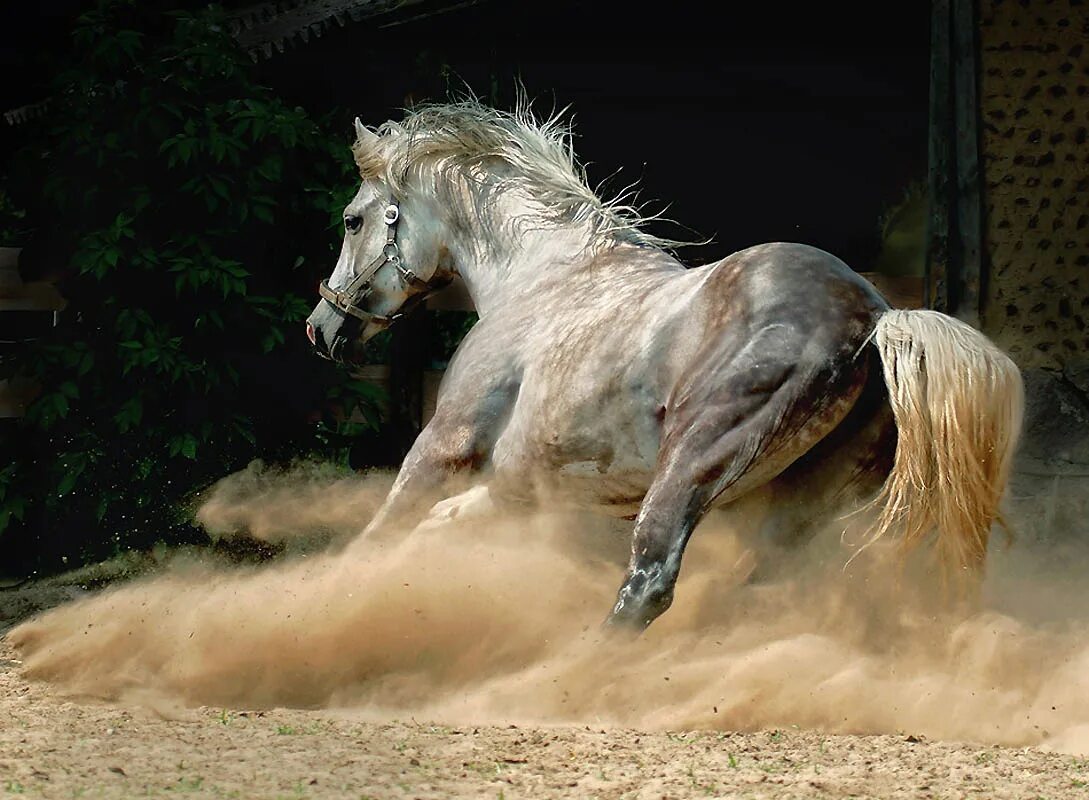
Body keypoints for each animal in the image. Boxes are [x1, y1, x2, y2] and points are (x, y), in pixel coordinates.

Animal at [305, 100, 1024, 631]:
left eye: (351, 219)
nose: (320, 328)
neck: (540, 278)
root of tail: (874, 318)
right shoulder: (523, 490)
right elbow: (437, 526)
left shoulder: (446, 444)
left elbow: (384, 529)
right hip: (796, 502)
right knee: (754, 586)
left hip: (693, 463)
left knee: (648, 584)